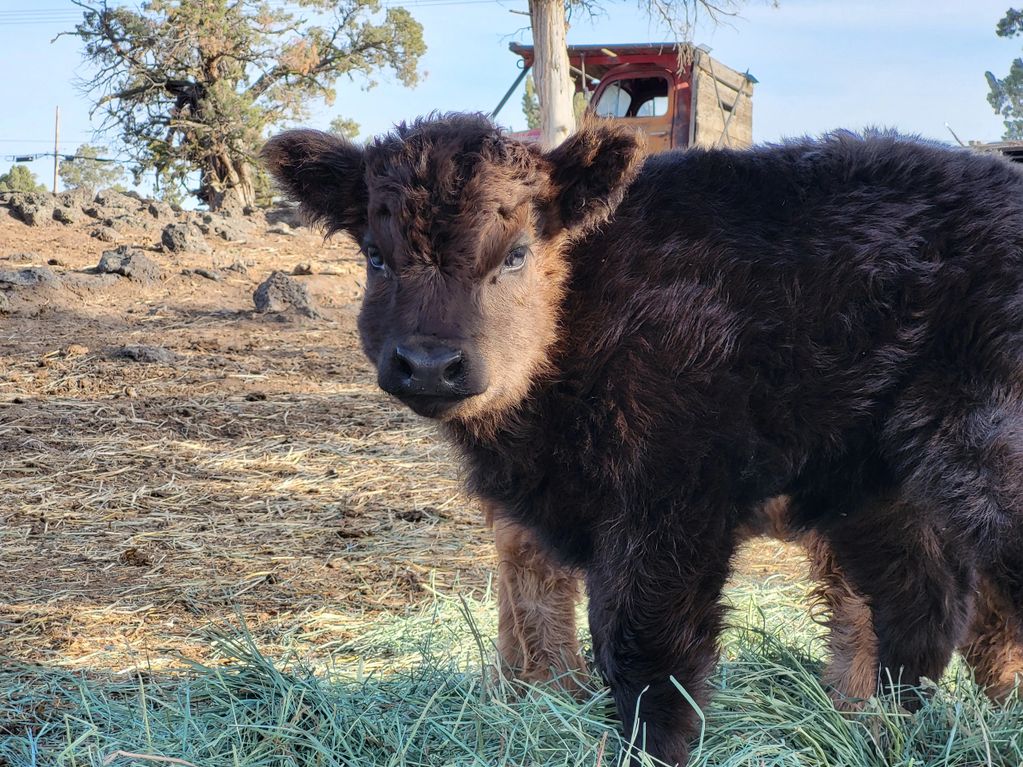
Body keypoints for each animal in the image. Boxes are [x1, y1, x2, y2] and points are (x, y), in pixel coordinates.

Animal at [263, 114, 1023, 765]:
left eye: (516, 253)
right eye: (375, 255)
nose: (427, 362)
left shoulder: (667, 504)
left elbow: (645, 652)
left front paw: (651, 749)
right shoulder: (538, 517)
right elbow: (536, 619)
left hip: (980, 466)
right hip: (878, 491)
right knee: (923, 611)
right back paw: (884, 735)